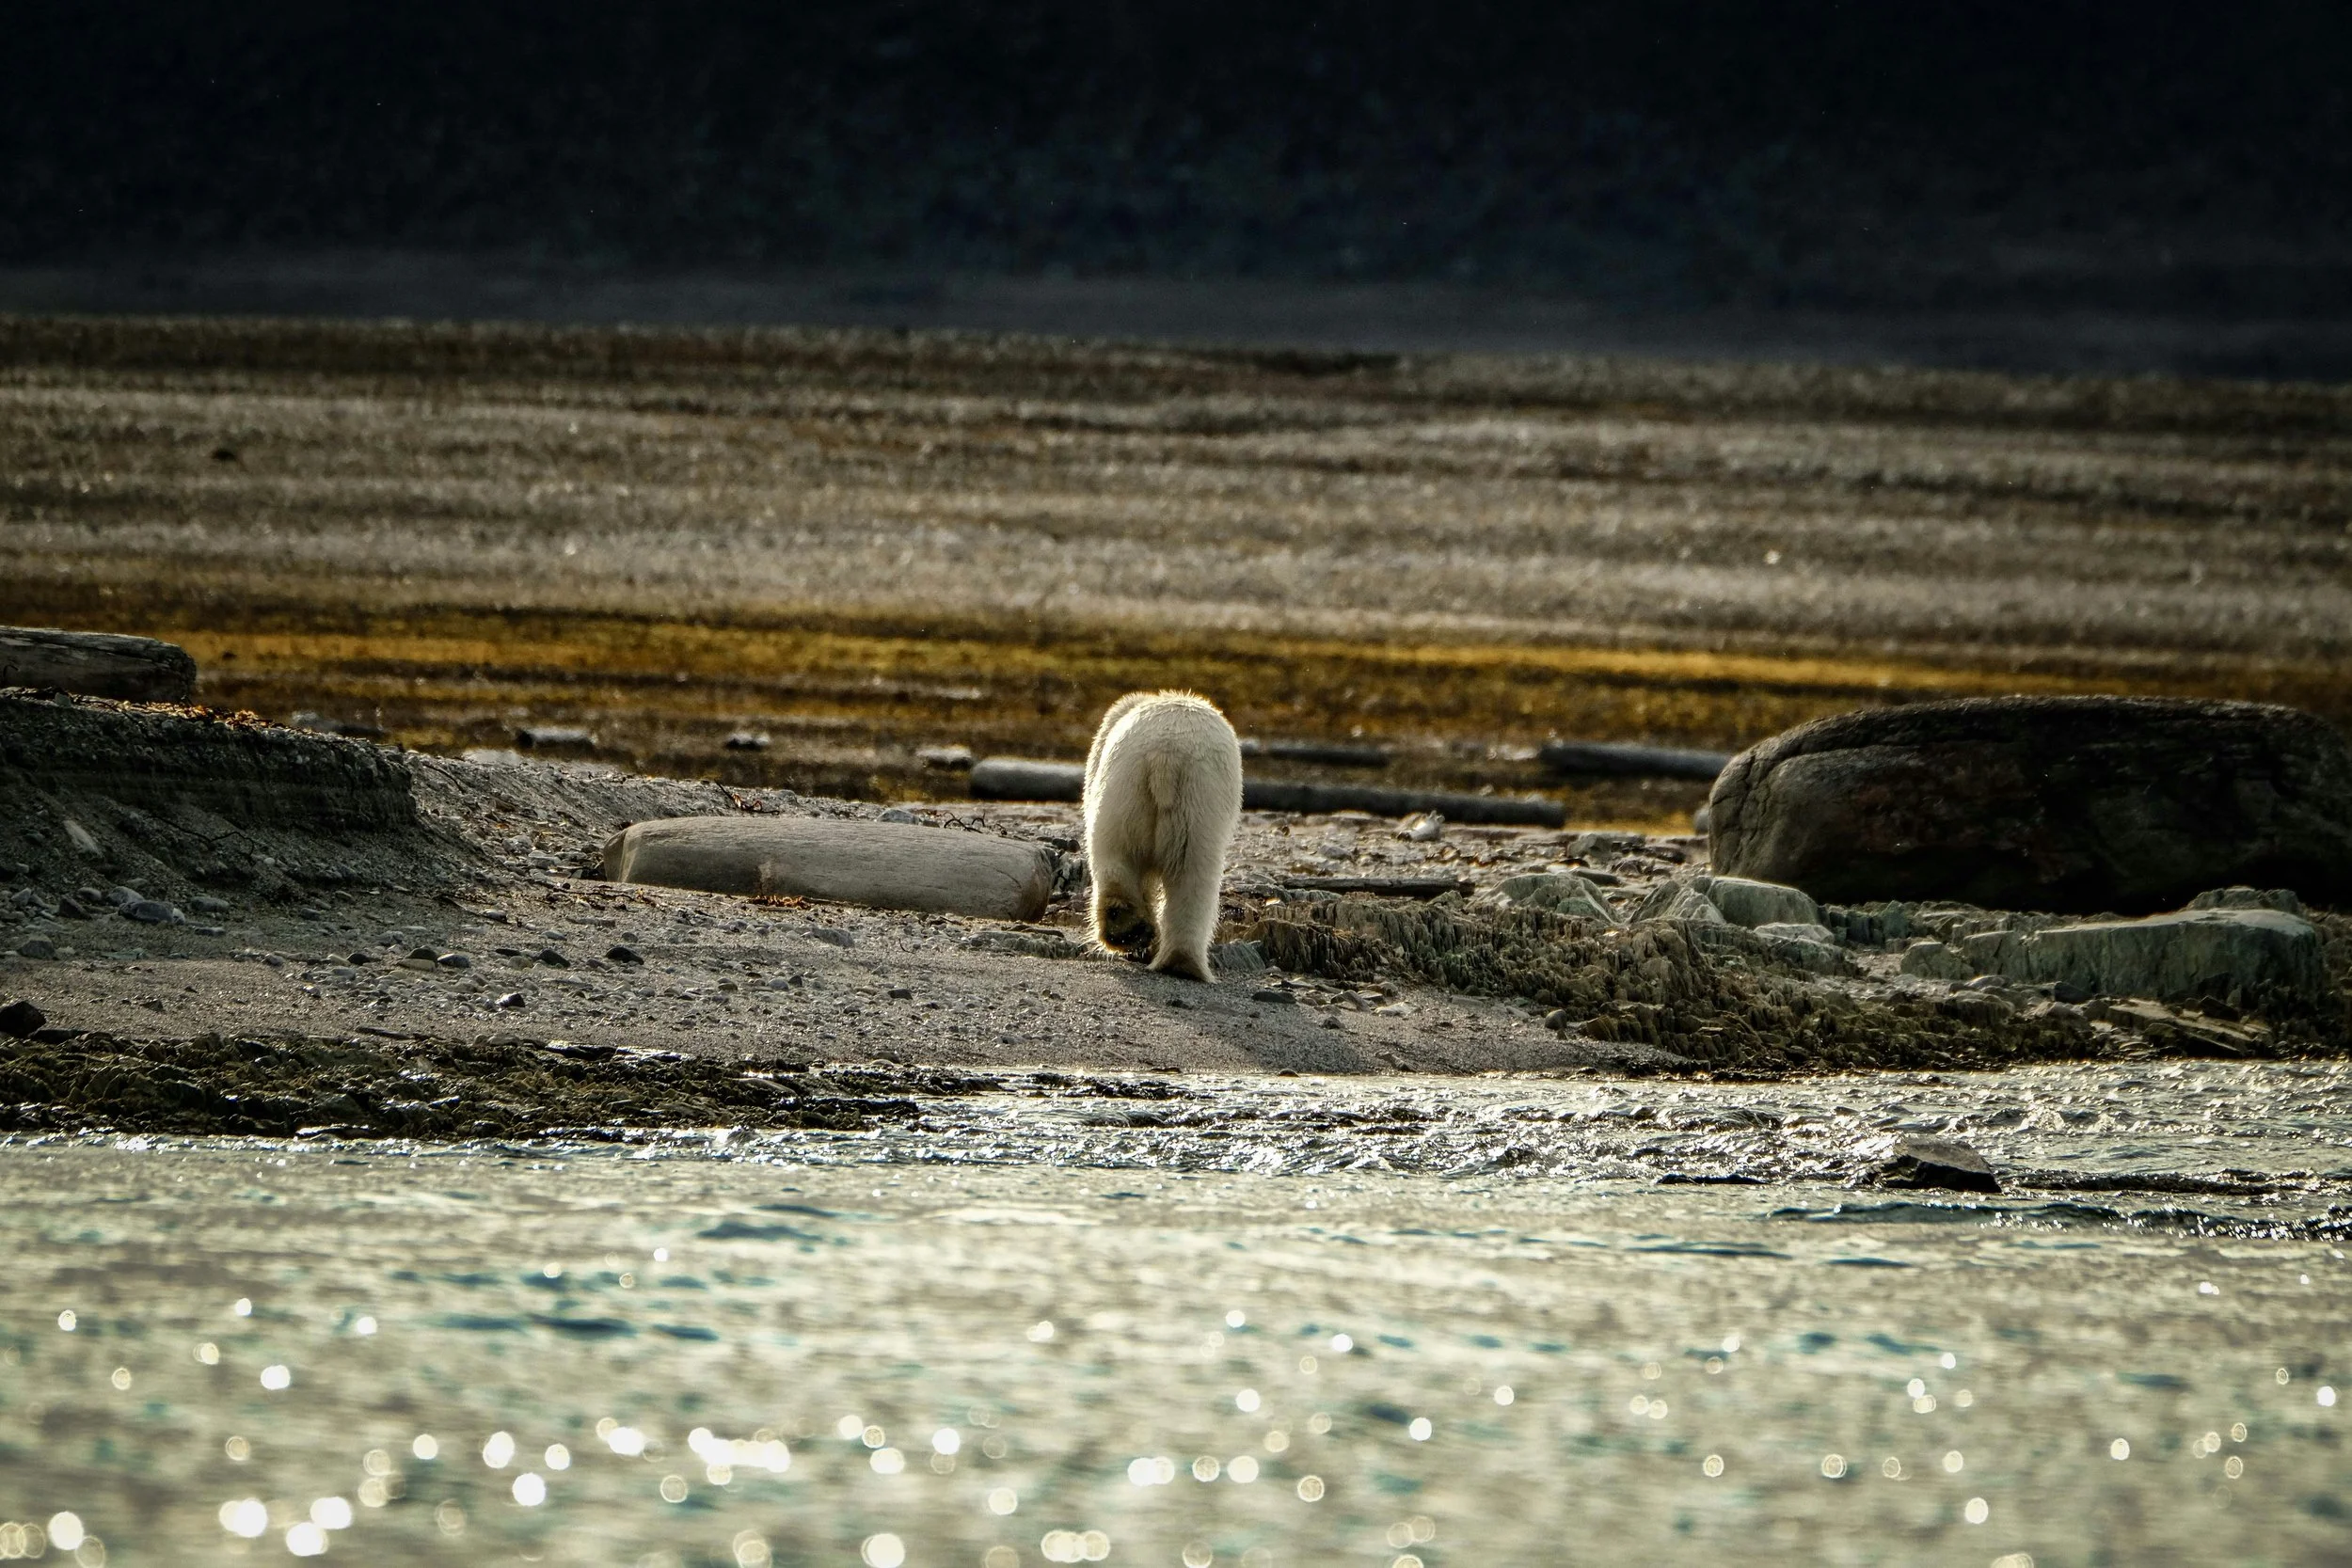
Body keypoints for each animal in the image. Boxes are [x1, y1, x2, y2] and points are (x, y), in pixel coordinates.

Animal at [1082, 690, 1244, 982]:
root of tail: (1165, 756)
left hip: (1130, 796)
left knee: (1123, 859)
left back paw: (1138, 936)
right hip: (1192, 803)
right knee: (1190, 875)